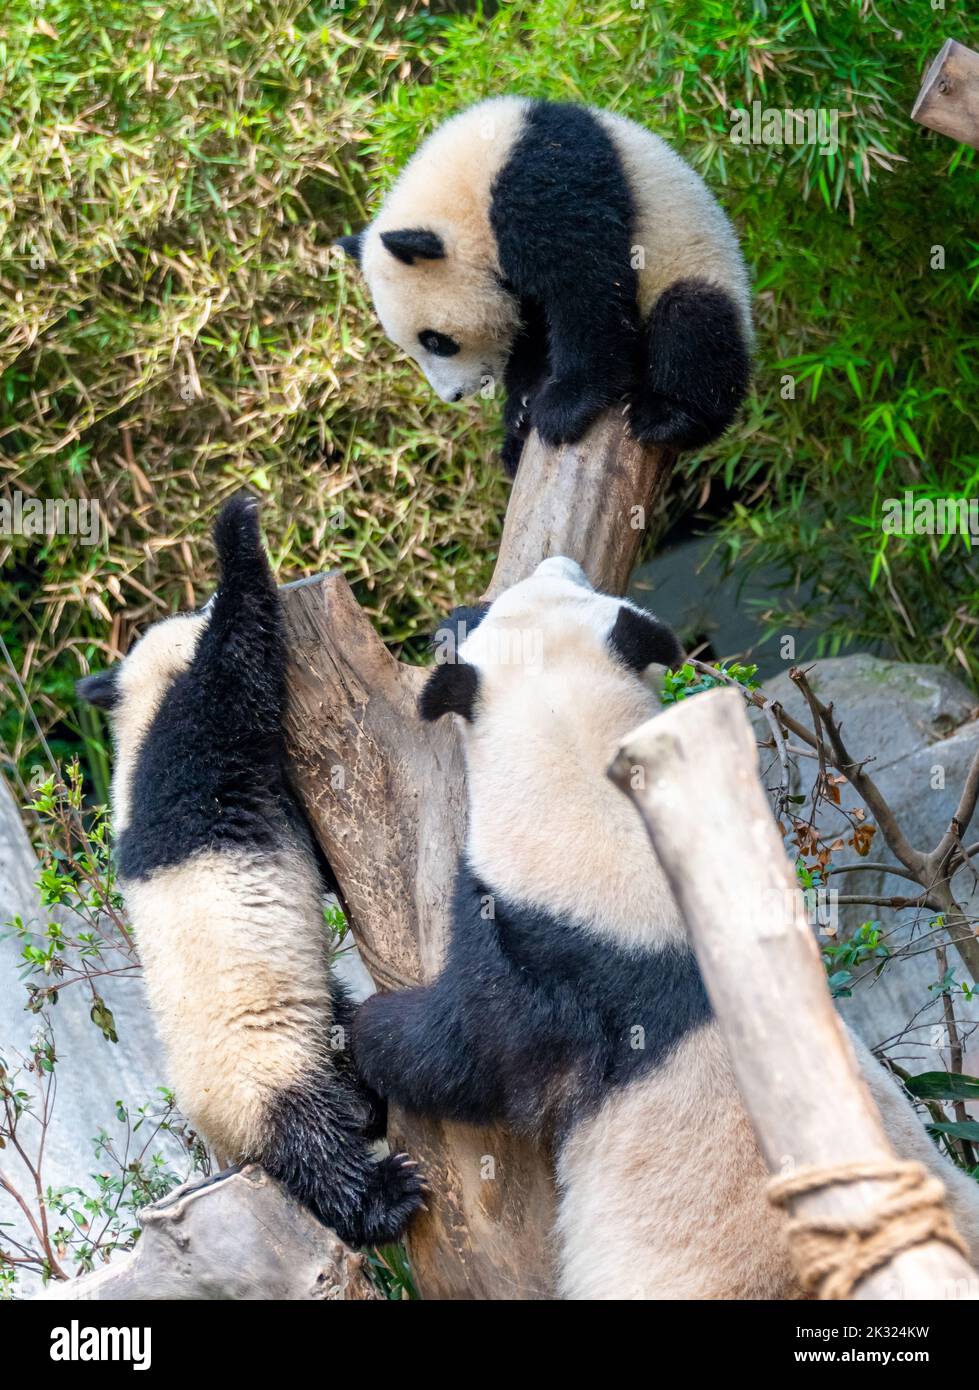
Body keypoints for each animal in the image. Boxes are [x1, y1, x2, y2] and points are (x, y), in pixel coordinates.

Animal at [76, 495, 425, 1249]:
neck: (141, 711)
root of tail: (221, 1150)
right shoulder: (191, 748)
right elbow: (238, 664)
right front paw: (237, 530)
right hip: (257, 1069)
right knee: (311, 1140)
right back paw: (384, 1194)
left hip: (310, 1026)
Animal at [337, 97, 752, 475]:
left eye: (436, 341)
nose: (454, 395)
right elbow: (533, 326)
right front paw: (521, 409)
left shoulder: (544, 183)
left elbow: (587, 288)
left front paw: (562, 410)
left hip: (696, 266)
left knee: (692, 325)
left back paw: (666, 416)